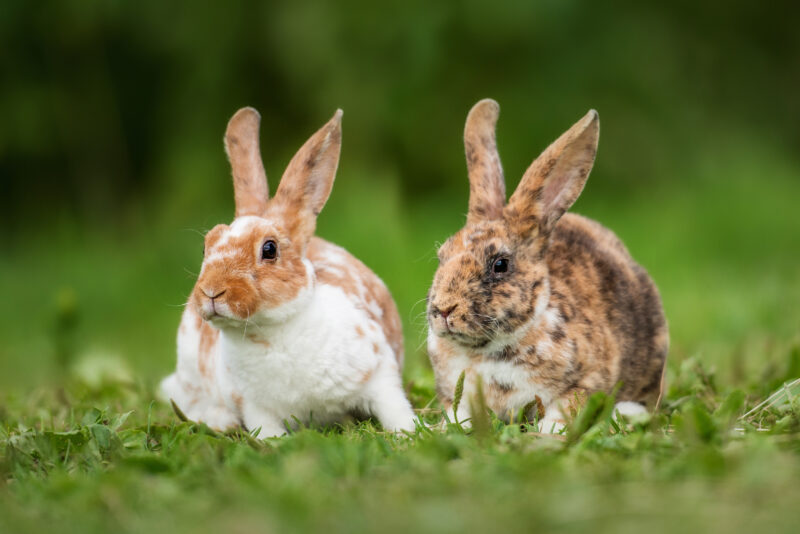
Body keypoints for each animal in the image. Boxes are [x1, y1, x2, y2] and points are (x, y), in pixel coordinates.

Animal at [160, 107, 417, 437]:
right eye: (206, 247)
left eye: (269, 249)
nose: (212, 292)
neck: (271, 332)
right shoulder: (254, 405)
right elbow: (267, 429)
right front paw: (273, 442)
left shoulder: (380, 374)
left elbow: (395, 408)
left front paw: (413, 430)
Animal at [426, 99, 668, 433]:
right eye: (442, 256)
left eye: (500, 264)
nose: (444, 309)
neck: (488, 351)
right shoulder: (457, 394)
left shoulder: (584, 383)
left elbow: (561, 413)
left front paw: (544, 438)